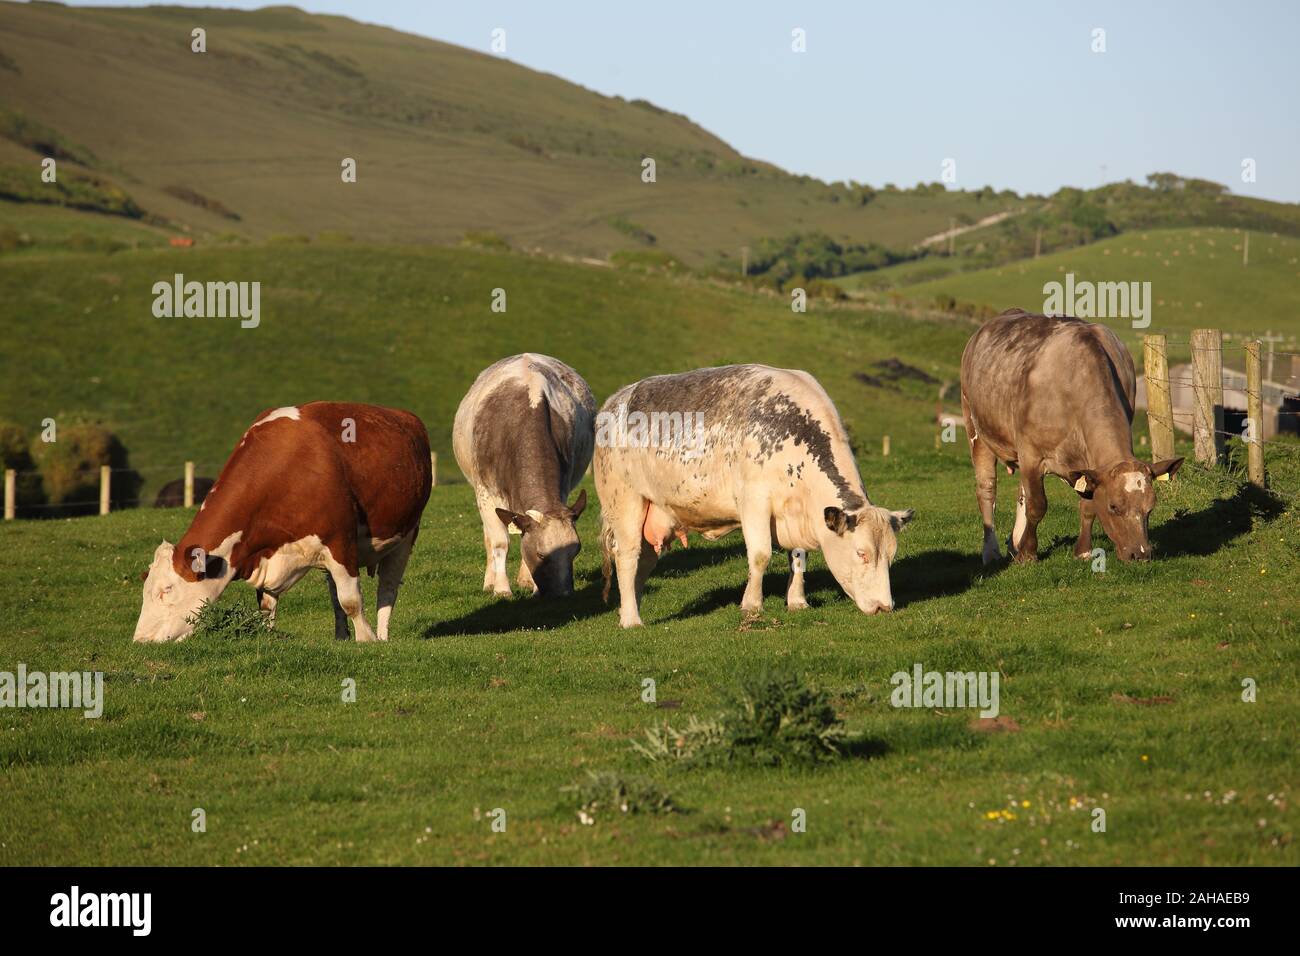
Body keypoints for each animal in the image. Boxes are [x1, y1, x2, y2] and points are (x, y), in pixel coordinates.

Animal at [133, 402, 431, 643]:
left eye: (166, 590)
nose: (141, 640)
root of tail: (405, 416)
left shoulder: (340, 541)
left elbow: (351, 601)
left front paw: (367, 639)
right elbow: (267, 605)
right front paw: (268, 637)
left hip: (406, 535)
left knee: (387, 588)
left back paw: (382, 636)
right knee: (334, 593)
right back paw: (340, 635)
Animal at [452, 354, 595, 598]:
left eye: (576, 551)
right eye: (541, 555)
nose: (563, 595)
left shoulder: (563, 487)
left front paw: (532, 586)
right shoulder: (486, 492)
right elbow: (499, 542)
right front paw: (501, 589)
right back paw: (490, 581)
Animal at [594, 365, 914, 628]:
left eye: (891, 555)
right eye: (861, 553)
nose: (884, 606)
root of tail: (615, 400)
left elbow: (799, 557)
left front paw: (797, 601)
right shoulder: (753, 502)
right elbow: (760, 556)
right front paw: (752, 605)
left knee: (643, 562)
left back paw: (628, 609)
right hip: (624, 502)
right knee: (627, 556)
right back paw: (632, 620)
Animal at [960, 309, 1183, 564]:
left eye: (1151, 507)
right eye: (1114, 506)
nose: (1141, 554)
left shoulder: (1088, 466)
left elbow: (1087, 506)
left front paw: (1083, 551)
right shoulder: (1032, 454)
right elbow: (1037, 505)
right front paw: (1028, 554)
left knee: (1021, 492)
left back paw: (1015, 543)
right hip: (975, 427)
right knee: (987, 489)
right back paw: (991, 552)